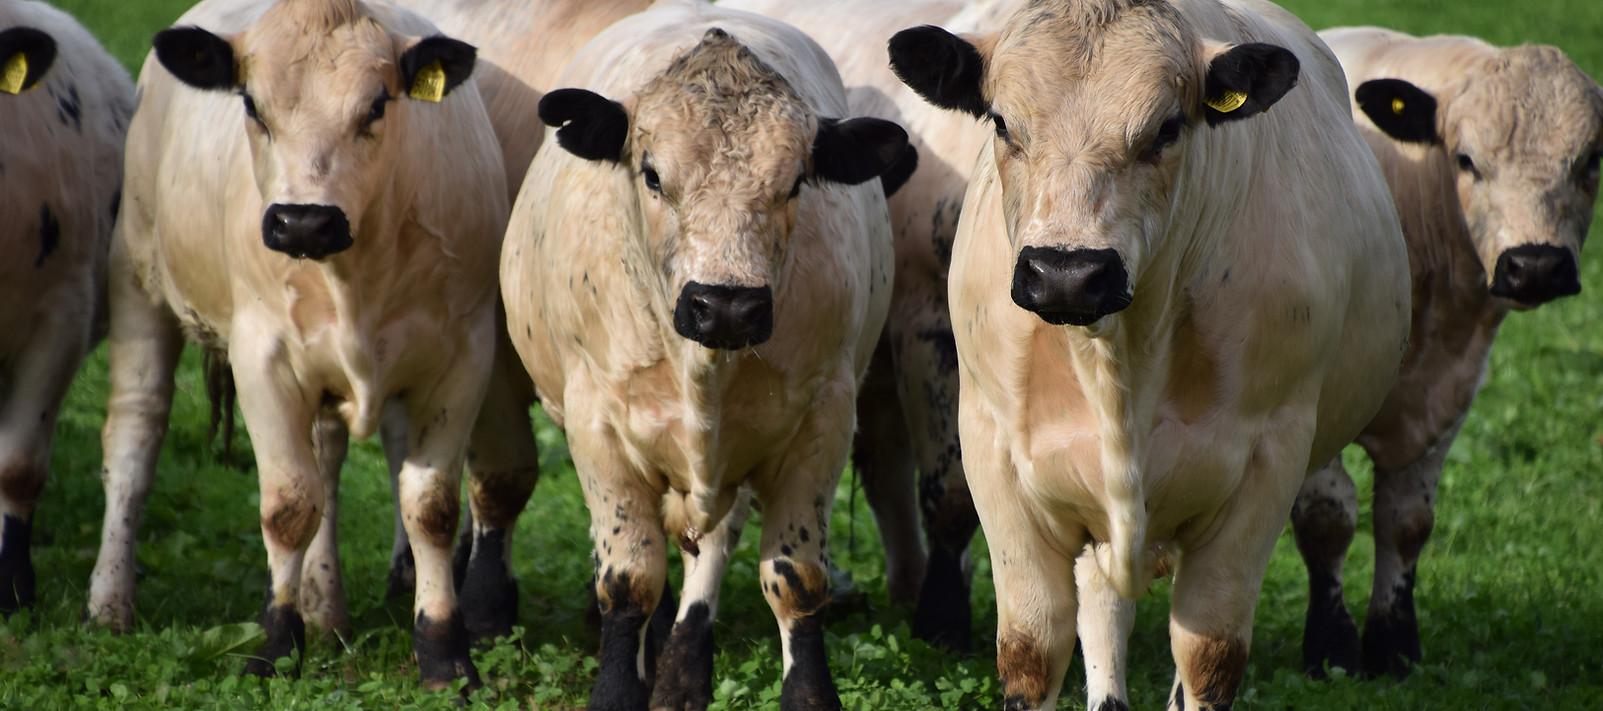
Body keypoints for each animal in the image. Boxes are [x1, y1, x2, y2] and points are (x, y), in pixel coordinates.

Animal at [84, 0, 508, 690]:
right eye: (252, 104)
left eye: (377, 105)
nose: (305, 221)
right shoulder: (262, 359)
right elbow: (288, 506)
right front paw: (277, 642)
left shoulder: (465, 356)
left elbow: (431, 507)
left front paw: (444, 650)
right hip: (137, 279)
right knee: (134, 437)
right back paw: (110, 600)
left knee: (328, 461)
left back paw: (325, 605)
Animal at [499, 1, 907, 707]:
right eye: (653, 175)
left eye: (795, 182)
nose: (726, 306)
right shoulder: (594, 424)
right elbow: (628, 580)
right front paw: (620, 685)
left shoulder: (825, 419)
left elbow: (796, 580)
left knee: (711, 544)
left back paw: (682, 668)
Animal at [887, 0, 1412, 708]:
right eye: (1001, 121)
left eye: (1166, 129)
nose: (1067, 274)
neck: (1118, 360)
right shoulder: (991, 451)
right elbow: (1032, 649)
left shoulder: (1268, 461)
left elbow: (1209, 653)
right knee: (1102, 607)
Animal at [1287, 27, 1603, 679]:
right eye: (1466, 160)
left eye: (1591, 160)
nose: (1536, 264)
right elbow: (1328, 515)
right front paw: (1330, 647)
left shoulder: (1454, 393)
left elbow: (1407, 519)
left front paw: (1394, 645)